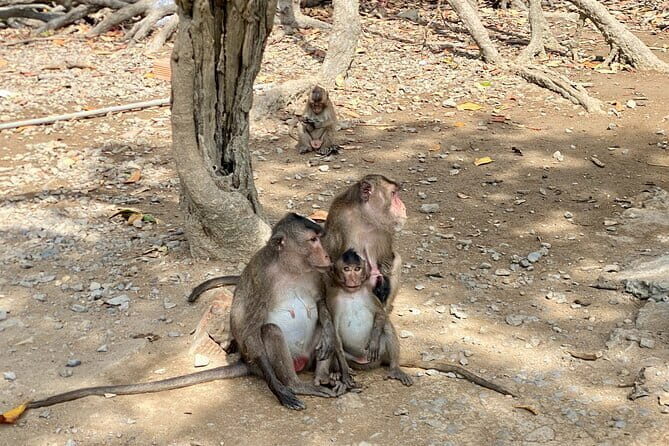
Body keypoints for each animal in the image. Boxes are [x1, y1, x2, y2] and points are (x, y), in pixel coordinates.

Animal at [0, 214, 346, 422]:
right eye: (313, 241)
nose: (328, 256)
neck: (292, 268)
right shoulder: (259, 274)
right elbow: (245, 325)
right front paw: (280, 391)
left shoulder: (316, 275)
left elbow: (322, 307)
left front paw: (330, 337)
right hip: (269, 360)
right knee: (270, 331)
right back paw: (297, 385)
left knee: (320, 337)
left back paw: (327, 376)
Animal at [323, 174, 406, 309]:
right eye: (393, 193)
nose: (403, 207)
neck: (365, 218)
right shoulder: (342, 220)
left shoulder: (384, 229)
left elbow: (387, 258)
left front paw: (382, 287)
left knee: (397, 258)